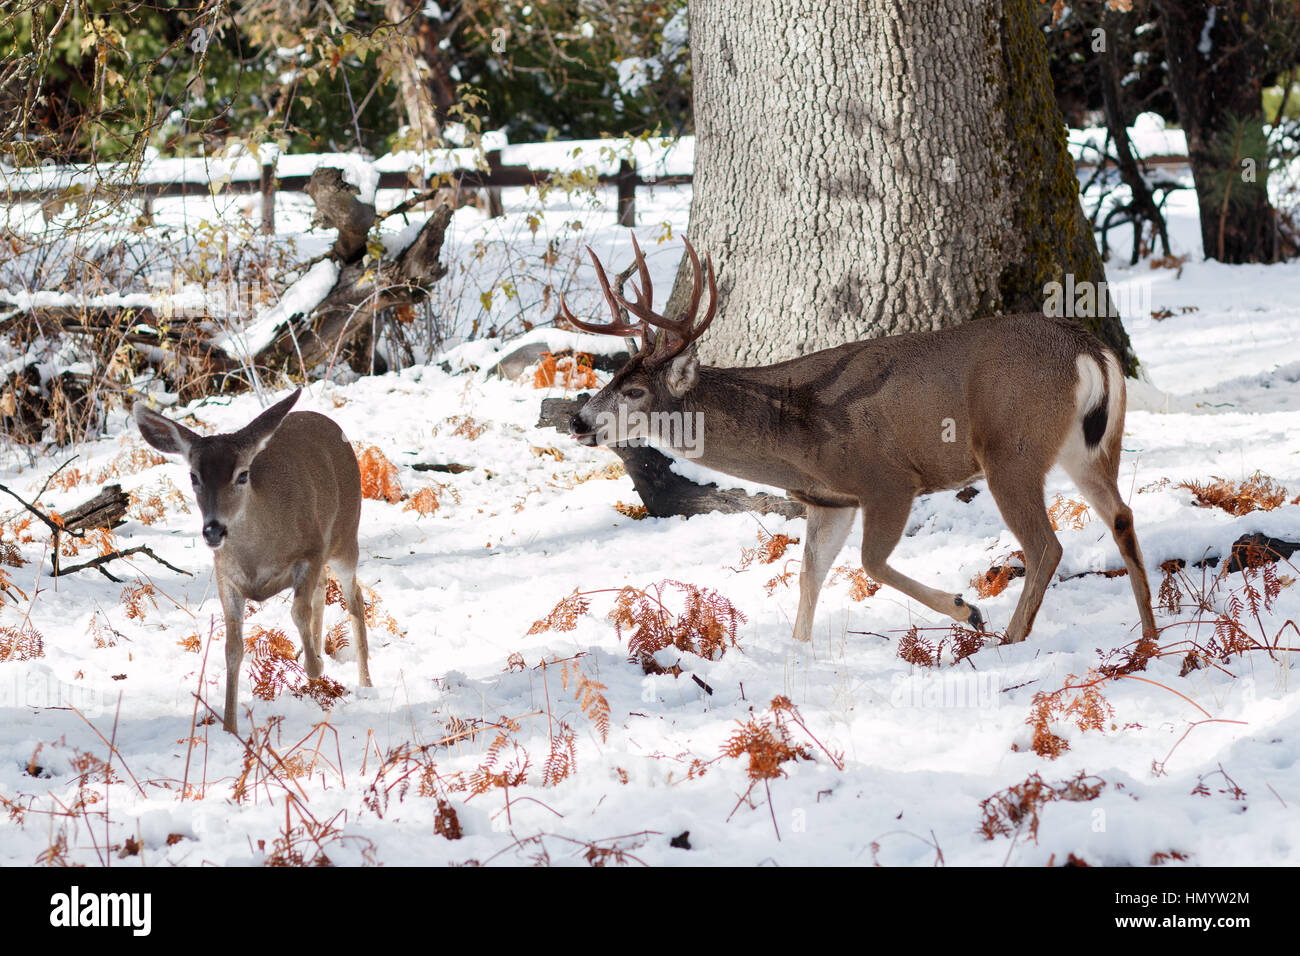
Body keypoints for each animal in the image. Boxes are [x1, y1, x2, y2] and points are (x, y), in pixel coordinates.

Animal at [134, 389, 370, 734]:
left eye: (243, 474)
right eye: (193, 476)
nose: (213, 529)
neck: (258, 556)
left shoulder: (311, 550)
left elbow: (298, 611)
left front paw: (315, 665)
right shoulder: (225, 575)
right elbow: (233, 647)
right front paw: (229, 728)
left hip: (345, 533)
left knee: (354, 597)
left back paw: (364, 682)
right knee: (323, 589)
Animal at [560, 237, 1157, 648]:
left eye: (635, 390)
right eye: (612, 377)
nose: (577, 420)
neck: (793, 434)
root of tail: (1088, 349)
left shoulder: (887, 479)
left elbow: (869, 564)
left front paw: (966, 609)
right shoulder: (832, 500)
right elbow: (810, 576)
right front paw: (799, 651)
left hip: (1010, 449)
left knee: (1045, 545)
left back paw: (1009, 639)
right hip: (1090, 446)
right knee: (1122, 516)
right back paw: (1150, 633)